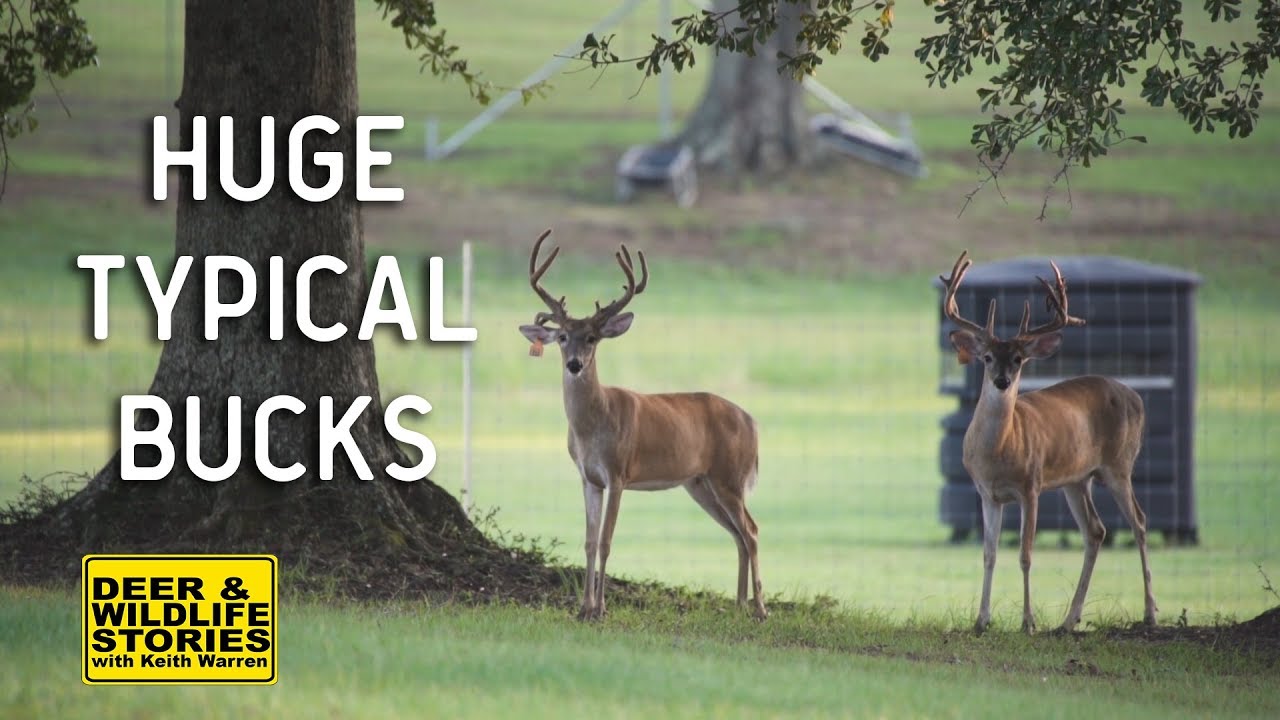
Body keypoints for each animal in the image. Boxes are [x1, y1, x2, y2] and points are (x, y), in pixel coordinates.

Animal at [518, 229, 767, 622]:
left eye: (592, 338)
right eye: (562, 337)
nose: (574, 364)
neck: (592, 427)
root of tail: (752, 421)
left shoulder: (619, 472)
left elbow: (606, 541)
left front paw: (600, 608)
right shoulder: (589, 477)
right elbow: (589, 541)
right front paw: (582, 608)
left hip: (731, 474)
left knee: (752, 531)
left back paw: (759, 608)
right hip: (701, 483)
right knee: (738, 534)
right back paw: (739, 605)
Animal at [939, 250, 1158, 635]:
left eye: (1018, 359)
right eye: (987, 357)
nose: (1002, 381)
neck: (998, 451)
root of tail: (1135, 396)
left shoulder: (1032, 485)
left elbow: (1026, 555)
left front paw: (1028, 622)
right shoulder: (986, 493)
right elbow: (989, 554)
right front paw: (981, 620)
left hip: (1119, 465)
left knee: (1140, 523)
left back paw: (1149, 612)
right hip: (1076, 479)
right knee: (1096, 531)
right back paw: (1069, 620)